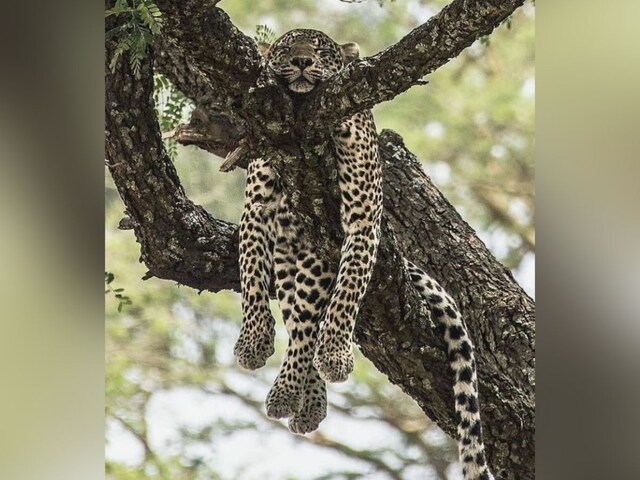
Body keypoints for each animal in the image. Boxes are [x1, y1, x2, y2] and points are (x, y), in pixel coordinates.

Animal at [233, 28, 494, 480]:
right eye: (285, 48)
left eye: (321, 50)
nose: (302, 62)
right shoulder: (256, 212)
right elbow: (252, 279)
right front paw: (253, 341)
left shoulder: (358, 223)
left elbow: (345, 296)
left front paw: (334, 355)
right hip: (289, 251)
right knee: (297, 319)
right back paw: (304, 399)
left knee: (307, 323)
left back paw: (293, 393)